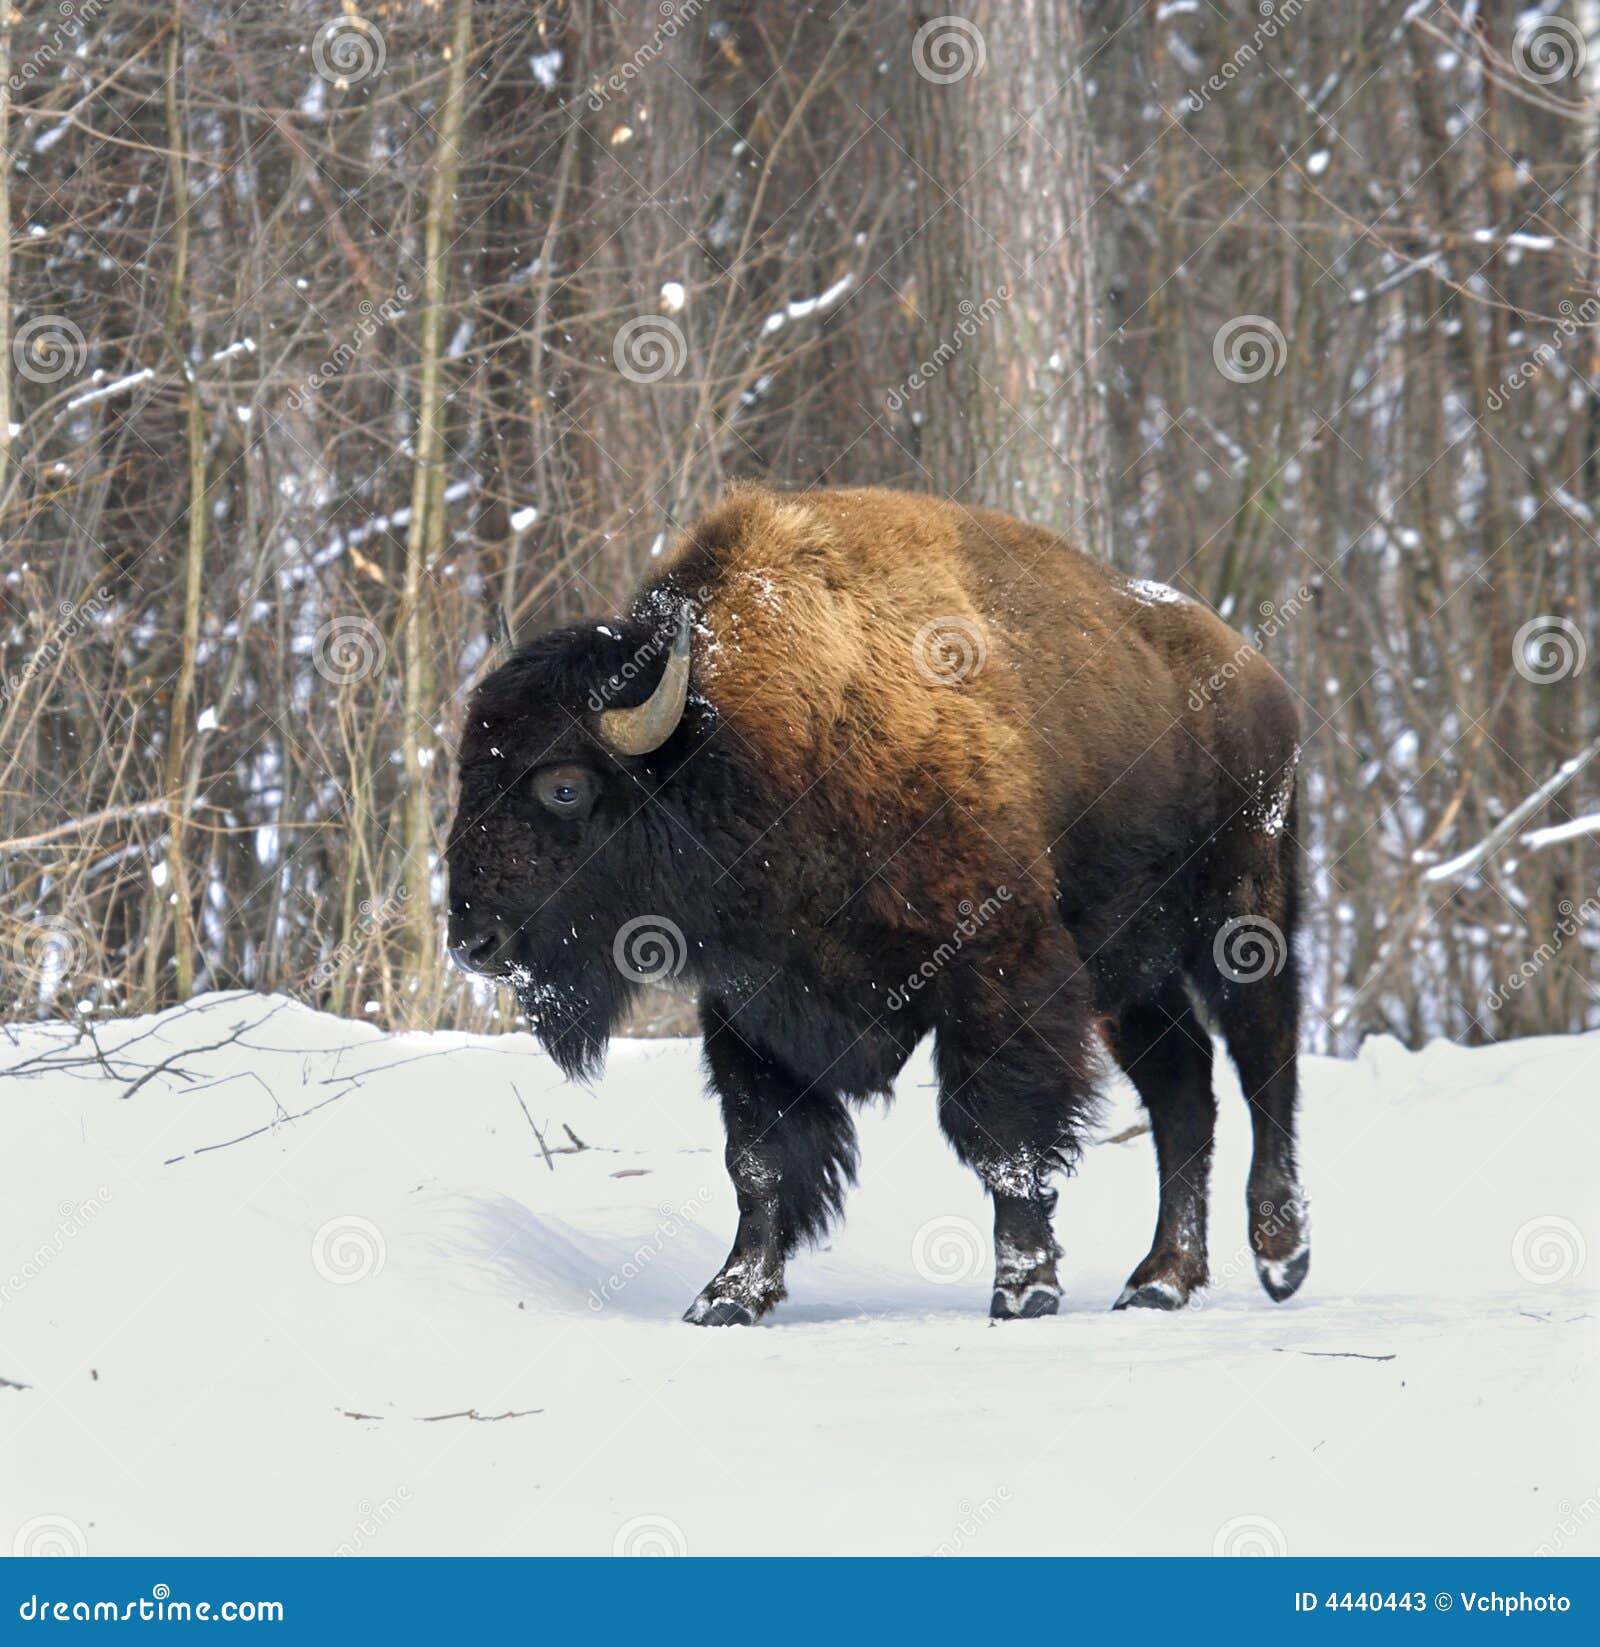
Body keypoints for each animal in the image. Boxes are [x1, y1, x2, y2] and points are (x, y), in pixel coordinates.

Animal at [447, 485, 1308, 1324]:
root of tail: (1264, 680)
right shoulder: (750, 1005)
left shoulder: (998, 967)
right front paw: (728, 1295)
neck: (752, 734)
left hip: (1241, 920)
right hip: (1133, 976)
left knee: (1264, 1062)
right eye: (468, 773)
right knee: (1183, 1092)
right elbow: (757, 1157)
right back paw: (1160, 1279)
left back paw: (1279, 1254)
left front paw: (1023, 1288)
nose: (471, 941)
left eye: (564, 785)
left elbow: (1000, 1130)